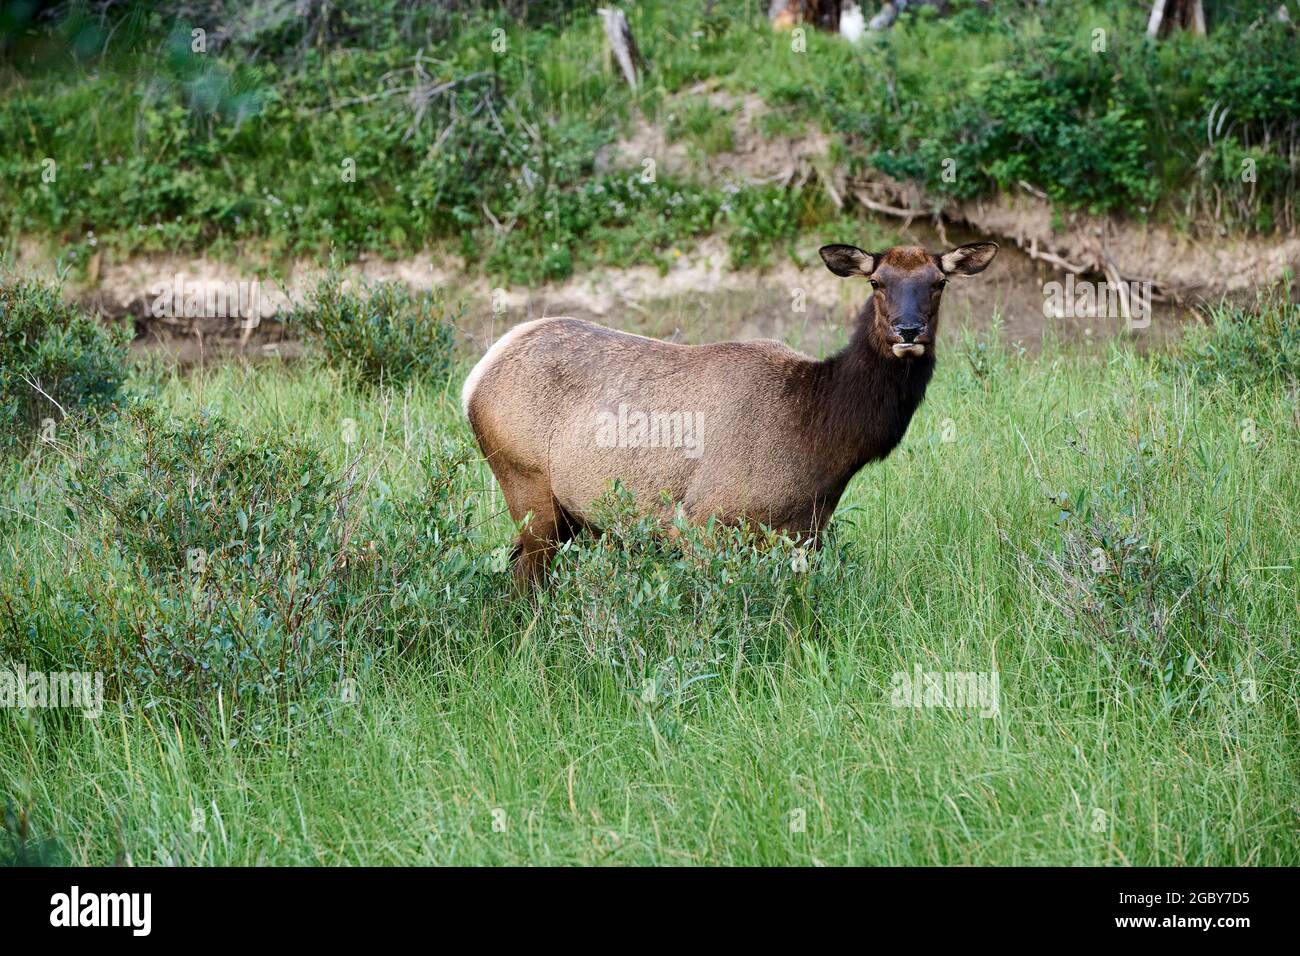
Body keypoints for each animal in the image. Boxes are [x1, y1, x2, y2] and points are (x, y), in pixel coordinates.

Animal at [463, 241, 999, 589]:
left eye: (938, 282)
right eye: (876, 282)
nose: (908, 331)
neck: (819, 431)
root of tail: (474, 377)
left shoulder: (805, 531)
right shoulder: (704, 519)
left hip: (568, 516)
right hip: (527, 484)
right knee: (524, 582)